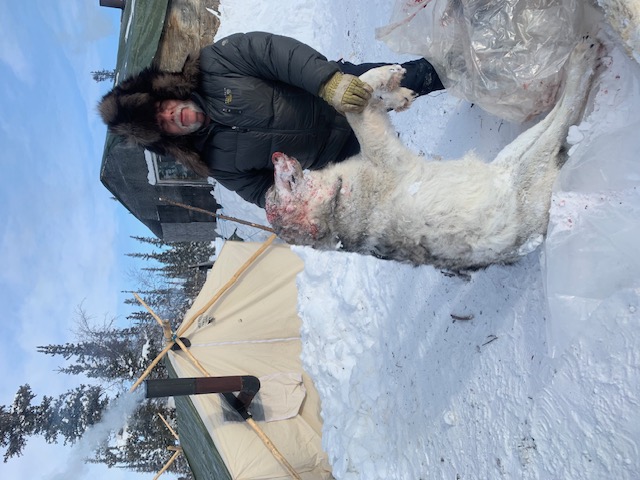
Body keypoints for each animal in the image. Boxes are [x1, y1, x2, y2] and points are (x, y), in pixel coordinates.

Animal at [265, 39, 599, 270]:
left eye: (272, 194)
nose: (275, 156)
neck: (337, 201)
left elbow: (366, 96)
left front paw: (395, 91)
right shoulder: (382, 150)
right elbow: (355, 104)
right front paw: (384, 78)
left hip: (512, 155)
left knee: (559, 114)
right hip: (524, 165)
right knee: (566, 110)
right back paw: (583, 58)